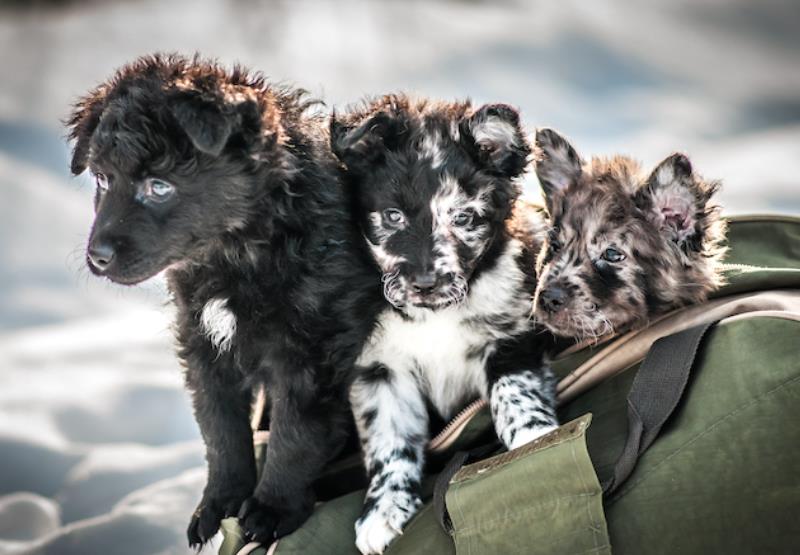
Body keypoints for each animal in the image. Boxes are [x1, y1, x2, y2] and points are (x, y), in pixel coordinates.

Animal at [65, 55, 384, 548]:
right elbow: (222, 431)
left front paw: (273, 508)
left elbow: (296, 435)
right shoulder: (205, 347)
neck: (235, 256)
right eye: (102, 179)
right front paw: (219, 503)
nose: (98, 257)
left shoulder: (313, 356)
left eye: (159, 186)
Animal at [328, 96, 560, 555]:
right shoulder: (380, 368)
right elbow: (389, 439)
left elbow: (514, 392)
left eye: (464, 219)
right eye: (393, 216)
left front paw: (534, 441)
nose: (425, 283)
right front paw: (384, 510)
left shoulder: (511, 333)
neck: (433, 315)